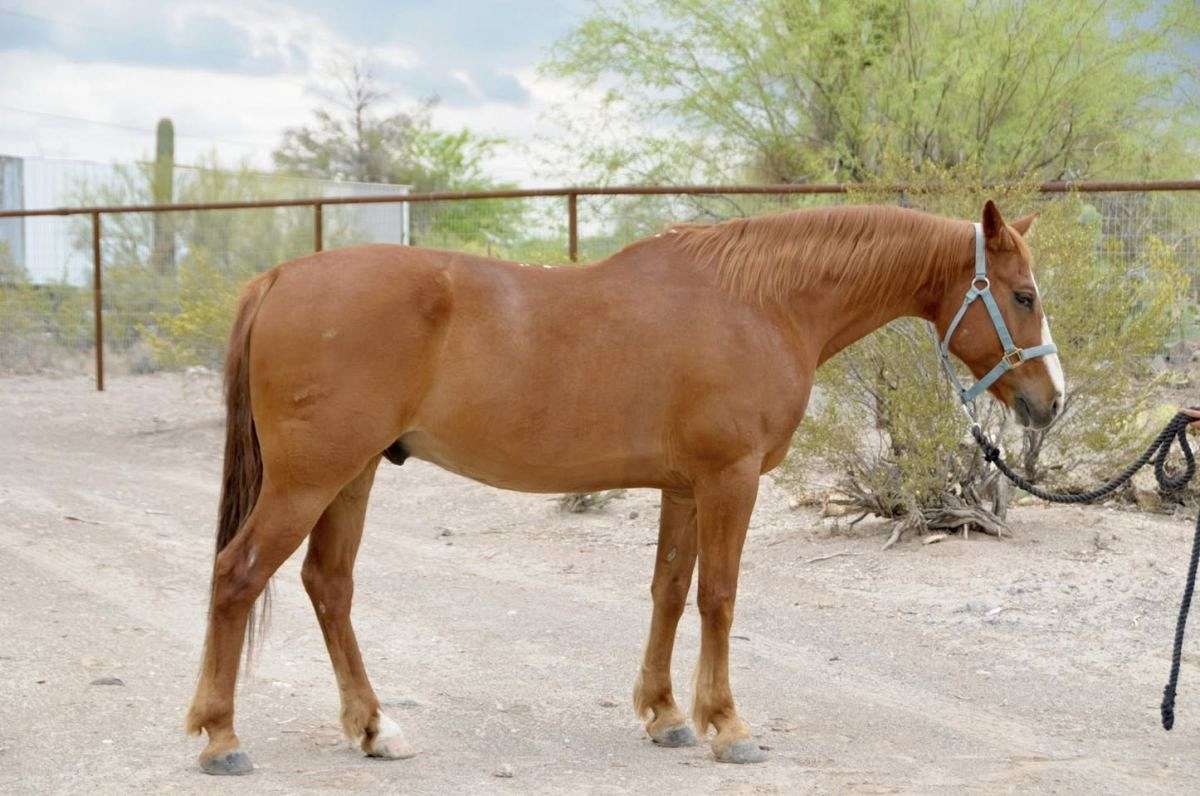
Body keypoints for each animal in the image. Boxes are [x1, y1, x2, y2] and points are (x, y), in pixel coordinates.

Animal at [185, 199, 1064, 774]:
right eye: (1022, 296)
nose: (1052, 400)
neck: (763, 301)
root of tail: (279, 278)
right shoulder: (729, 481)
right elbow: (719, 598)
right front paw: (727, 726)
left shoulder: (685, 487)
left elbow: (669, 591)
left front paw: (667, 716)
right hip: (312, 479)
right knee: (238, 575)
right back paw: (222, 738)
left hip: (354, 475)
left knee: (328, 585)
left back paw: (374, 730)